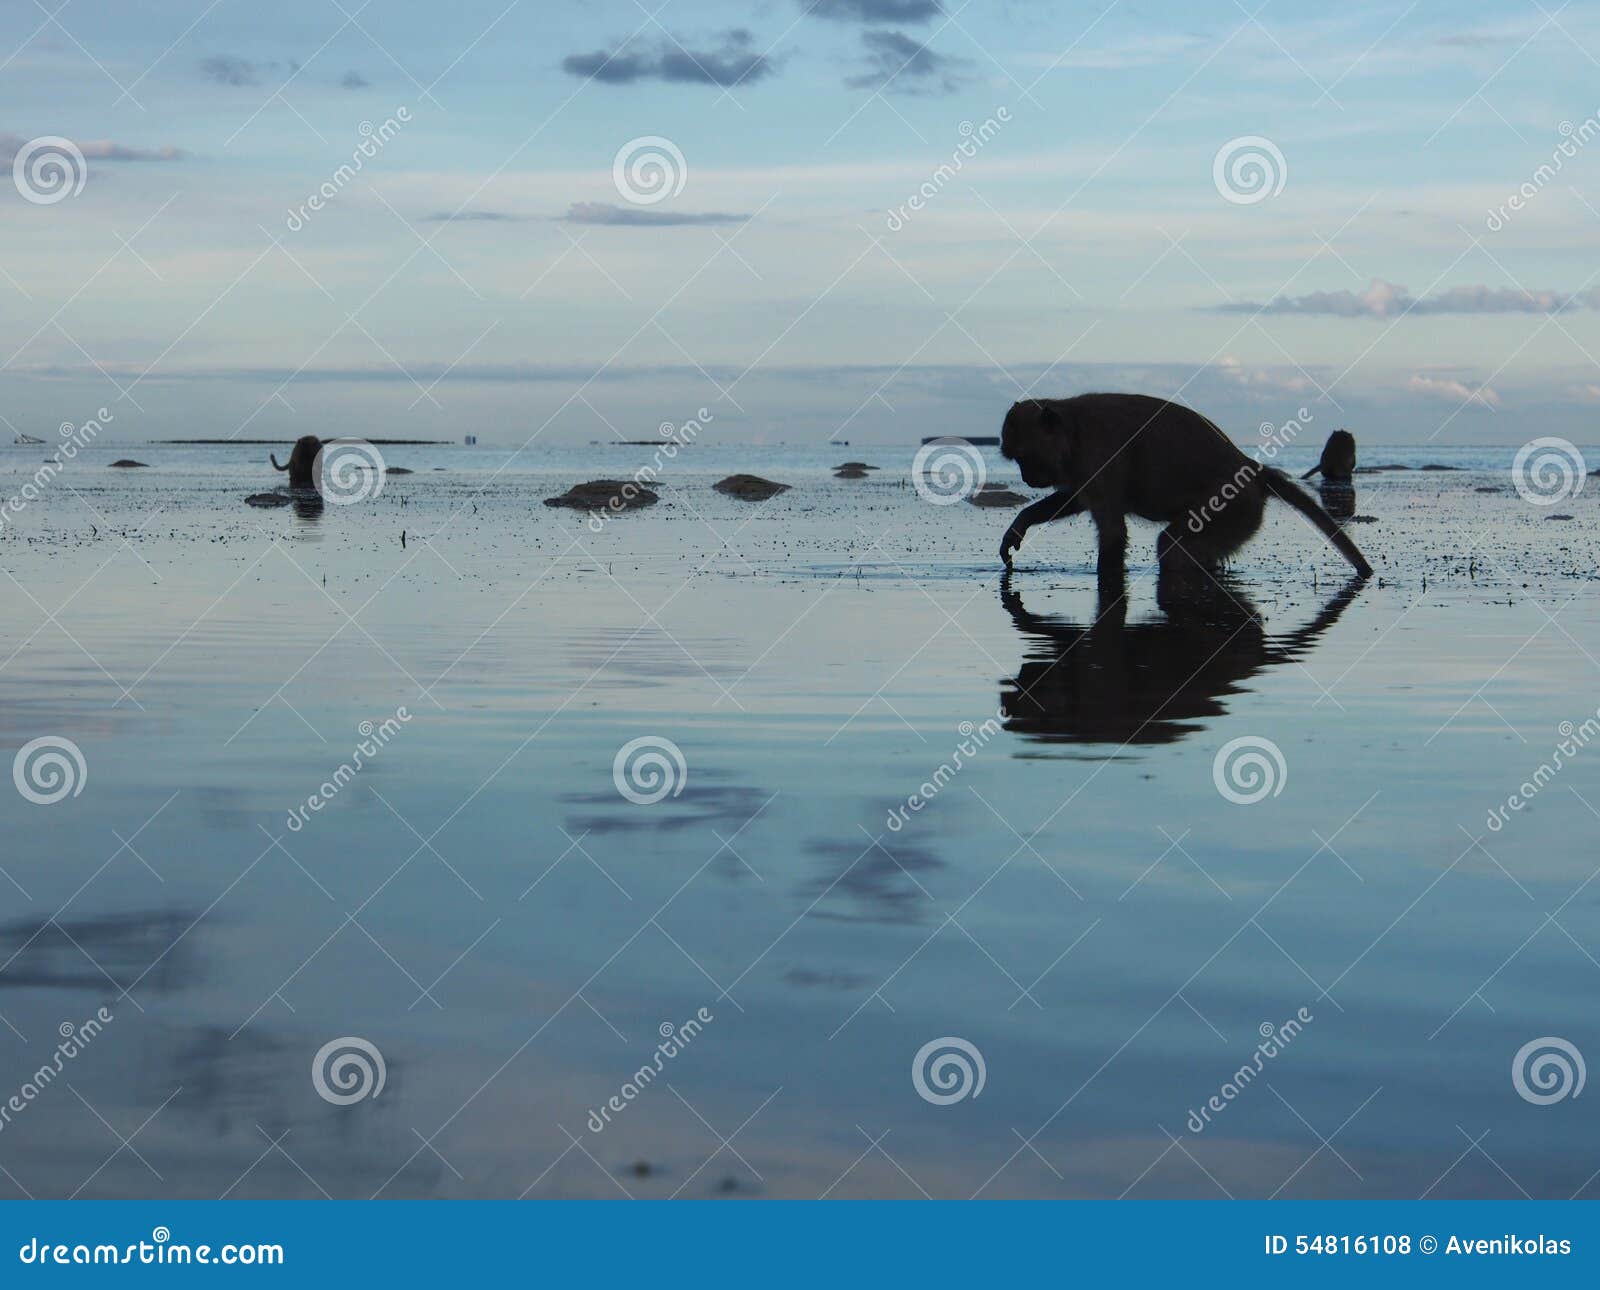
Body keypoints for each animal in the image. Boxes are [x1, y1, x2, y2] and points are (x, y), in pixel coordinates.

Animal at [997, 394, 1373, 580]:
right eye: (1017, 460)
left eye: (1026, 457)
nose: (1027, 477)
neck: (1074, 432)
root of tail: (1251, 469)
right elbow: (1075, 499)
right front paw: (1020, 524)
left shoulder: (1100, 454)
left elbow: (1114, 533)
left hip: (1234, 507)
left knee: (1174, 547)